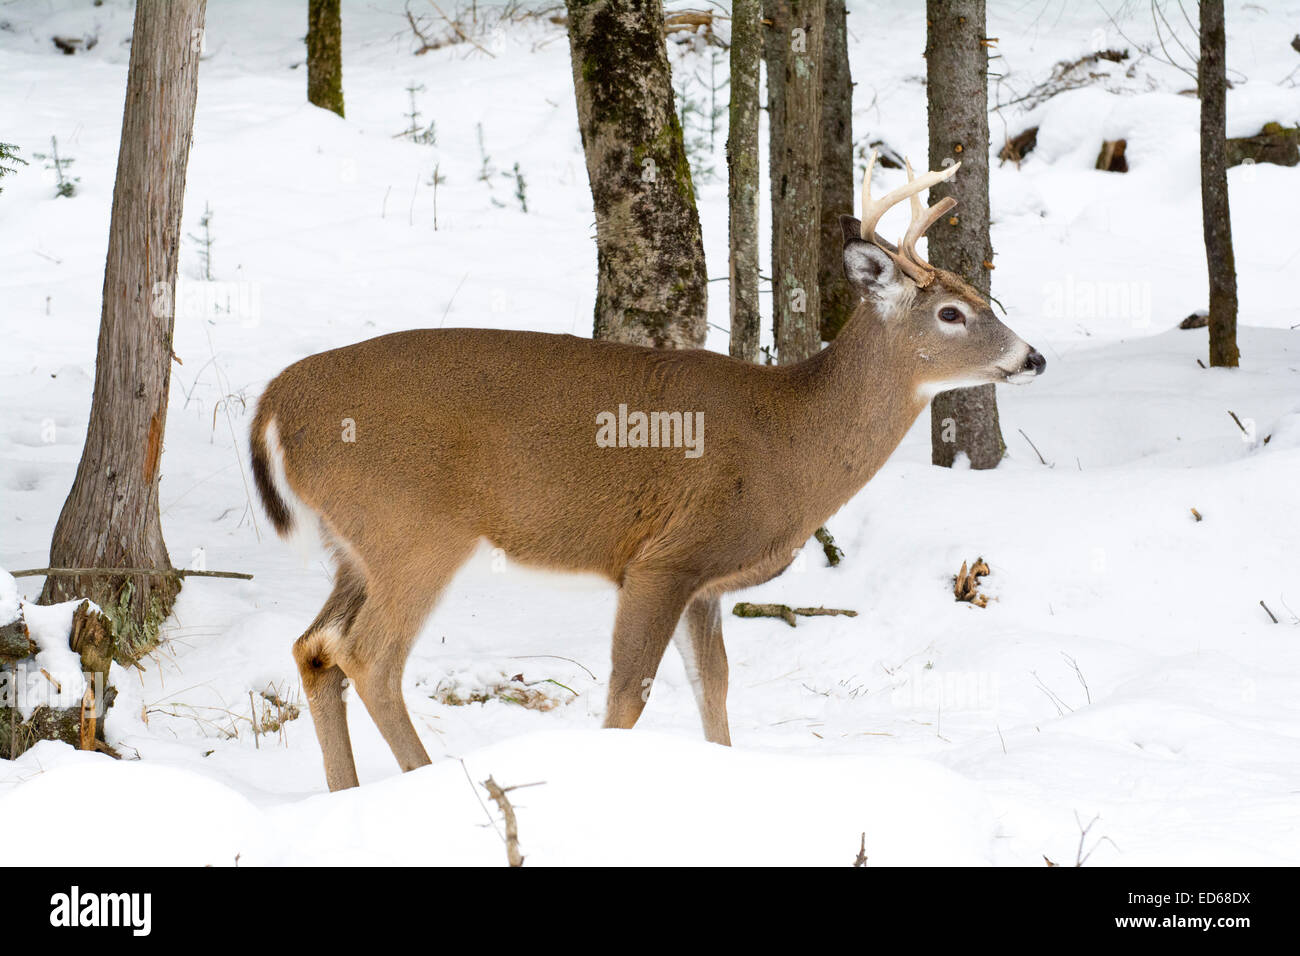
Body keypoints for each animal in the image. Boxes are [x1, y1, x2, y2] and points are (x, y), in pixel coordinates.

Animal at [250, 153, 1045, 790]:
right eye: (950, 313)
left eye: (983, 297)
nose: (1032, 356)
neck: (788, 442)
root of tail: (275, 401)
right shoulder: (663, 558)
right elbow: (627, 697)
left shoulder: (705, 582)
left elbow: (712, 688)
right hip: (413, 529)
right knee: (368, 656)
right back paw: (426, 783)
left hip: (354, 544)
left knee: (313, 648)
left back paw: (346, 795)